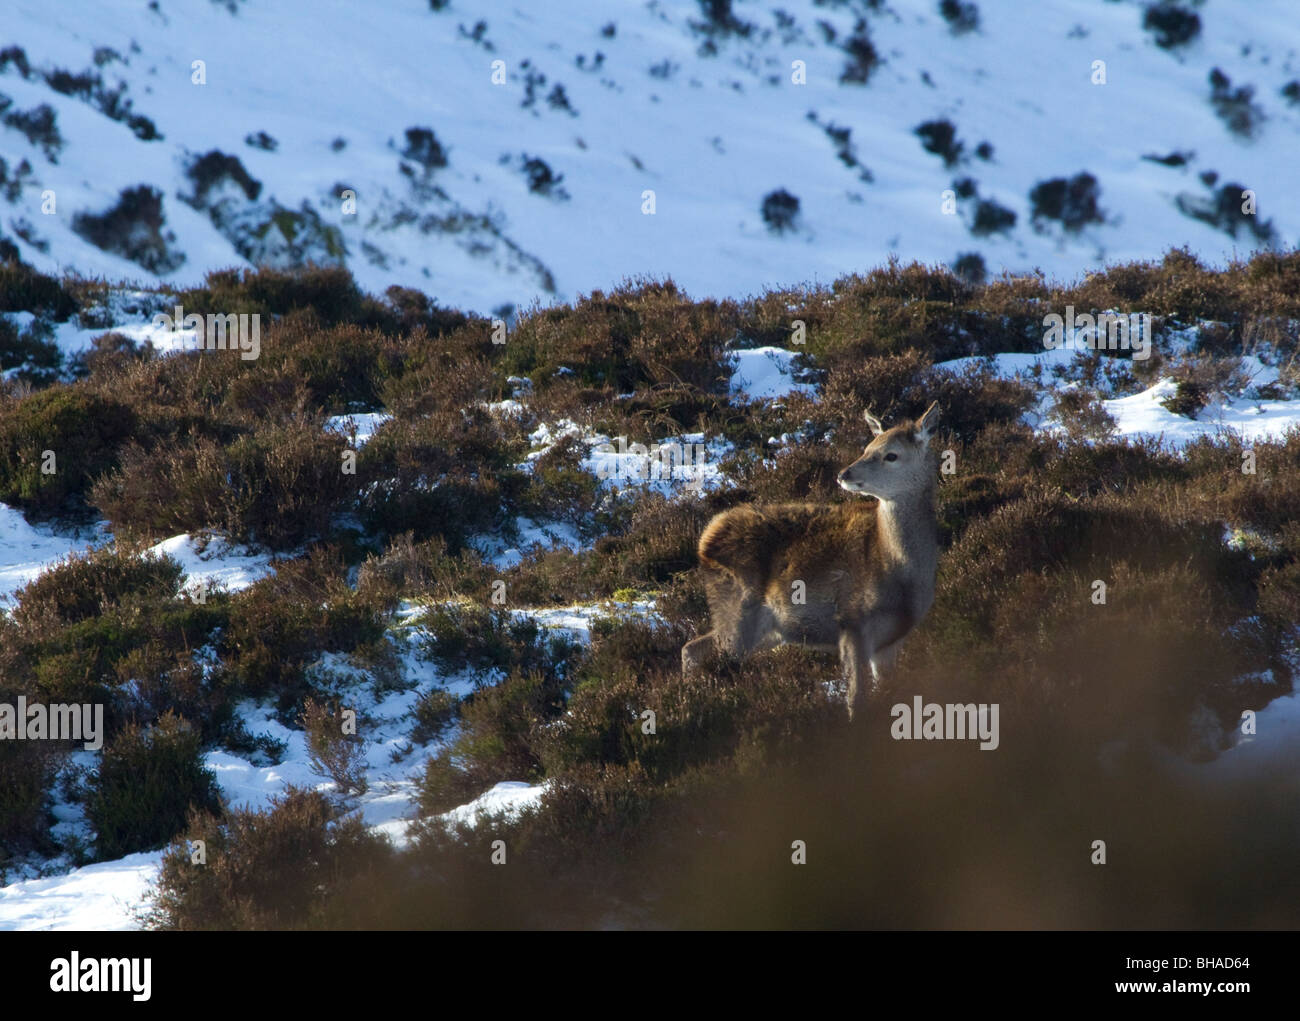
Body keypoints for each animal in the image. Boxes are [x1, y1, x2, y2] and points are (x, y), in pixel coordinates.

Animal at [681, 402, 940, 720]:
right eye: (867, 448)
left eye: (891, 454)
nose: (844, 474)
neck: (898, 571)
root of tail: (705, 540)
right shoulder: (851, 622)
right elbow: (857, 699)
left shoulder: (892, 640)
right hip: (737, 611)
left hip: (765, 629)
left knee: (693, 647)